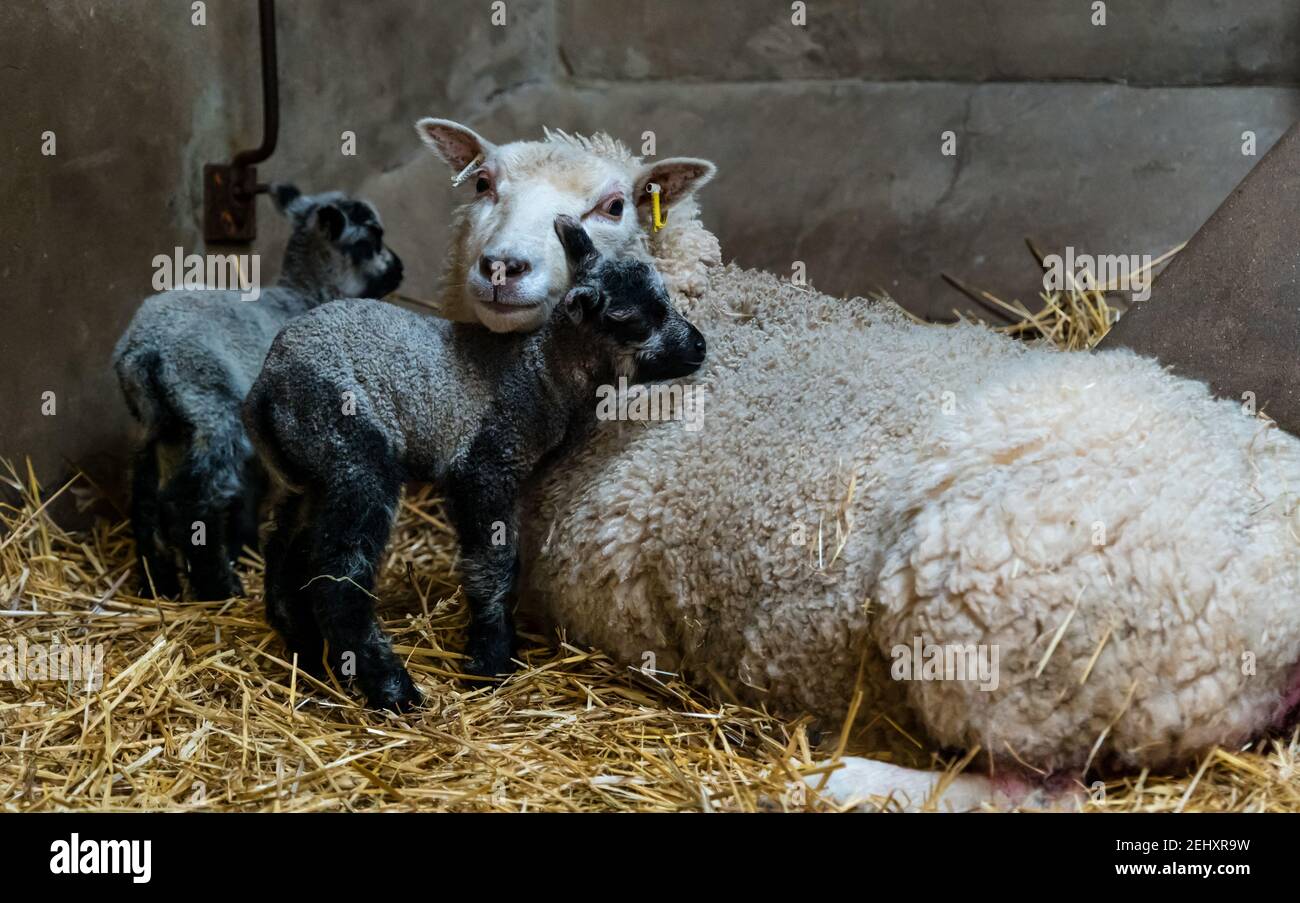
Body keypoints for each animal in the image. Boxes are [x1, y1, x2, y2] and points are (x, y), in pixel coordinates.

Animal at [112, 185, 404, 601]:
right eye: (372, 238)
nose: (400, 269)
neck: (303, 296)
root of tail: (144, 351)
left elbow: (249, 491)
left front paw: (245, 547)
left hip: (162, 424)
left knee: (146, 498)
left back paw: (160, 586)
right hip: (212, 408)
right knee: (191, 500)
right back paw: (218, 586)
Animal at [242, 215, 707, 712]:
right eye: (635, 320)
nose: (700, 346)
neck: (544, 371)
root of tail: (265, 390)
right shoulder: (486, 464)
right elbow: (494, 562)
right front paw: (490, 660)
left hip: (310, 471)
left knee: (285, 550)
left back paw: (305, 650)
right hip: (353, 454)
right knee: (339, 578)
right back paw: (391, 688)